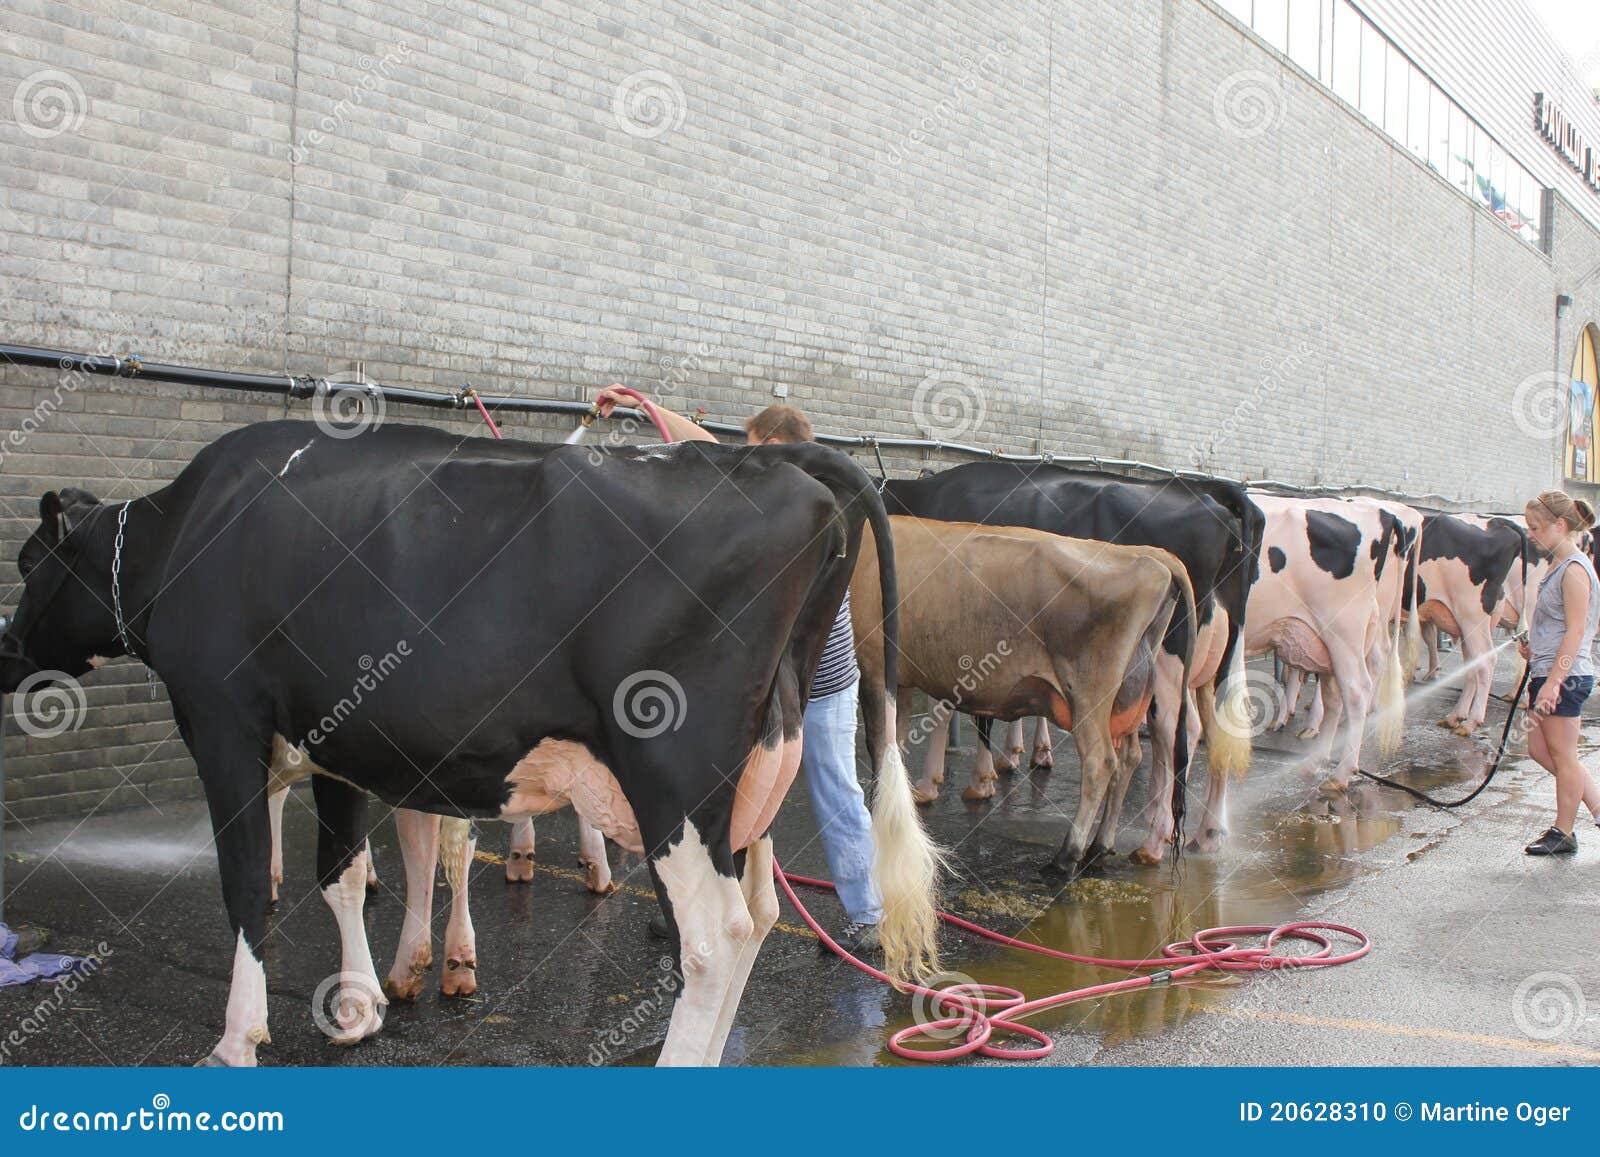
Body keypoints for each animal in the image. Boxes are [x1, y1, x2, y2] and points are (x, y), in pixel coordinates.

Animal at [0, 420, 940, 1066]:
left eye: (26, 562)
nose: (5, 648)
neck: (187, 531)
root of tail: (771, 460)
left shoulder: (223, 725)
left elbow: (244, 889)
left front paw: (238, 1037)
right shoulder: (331, 735)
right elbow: (340, 873)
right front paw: (358, 1006)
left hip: (671, 773)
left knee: (714, 940)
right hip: (753, 776)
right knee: (761, 915)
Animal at [848, 515, 1195, 877]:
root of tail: (1148, 556)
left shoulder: (873, 666)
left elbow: (878, 744)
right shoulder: (899, 679)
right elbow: (895, 742)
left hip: (1089, 692)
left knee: (1100, 762)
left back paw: (1066, 857)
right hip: (1129, 693)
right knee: (1129, 757)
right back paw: (1098, 849)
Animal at [883, 462, 1264, 859]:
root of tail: (1218, 500)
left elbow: (959, 709)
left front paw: (954, 782)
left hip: (1165, 663)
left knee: (1176, 731)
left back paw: (1153, 840)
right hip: (1212, 670)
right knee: (1218, 733)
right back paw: (1206, 833)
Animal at [1414, 512, 1527, 734]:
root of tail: (1496, 521)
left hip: (1471, 613)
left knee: (1486, 660)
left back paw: (1472, 721)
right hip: (1468, 623)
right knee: (1472, 663)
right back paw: (1455, 716)